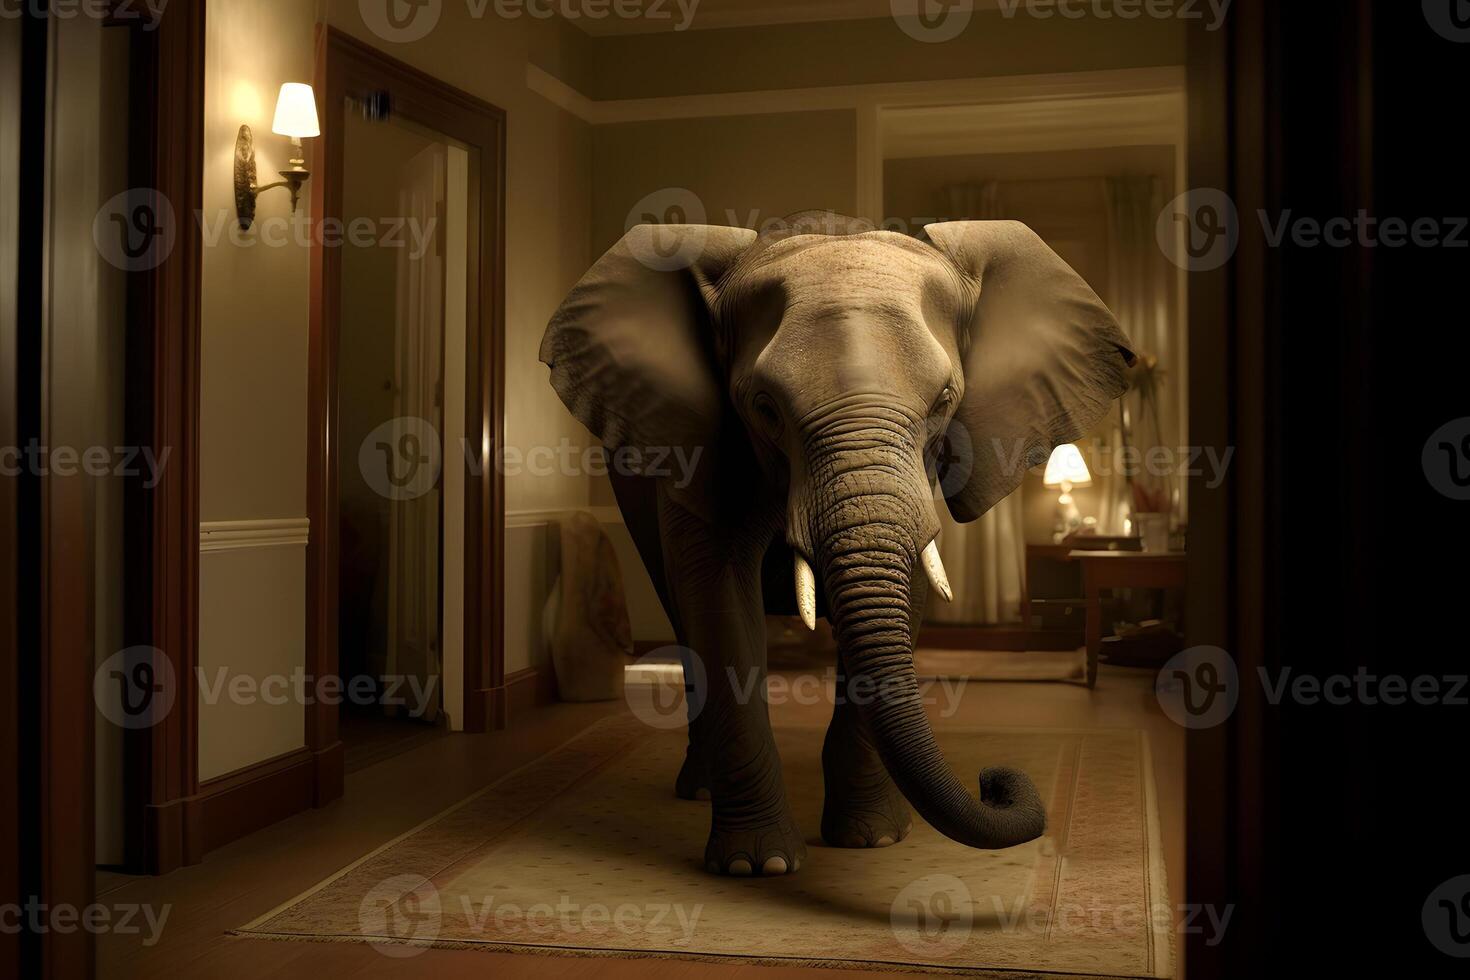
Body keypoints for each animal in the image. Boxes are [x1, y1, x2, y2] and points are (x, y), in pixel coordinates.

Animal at [540, 210, 1135, 876]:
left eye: (945, 401)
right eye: (764, 406)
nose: (995, 781)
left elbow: (911, 588)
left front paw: (872, 840)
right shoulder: (699, 451)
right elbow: (719, 605)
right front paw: (758, 866)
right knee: (682, 616)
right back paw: (699, 789)